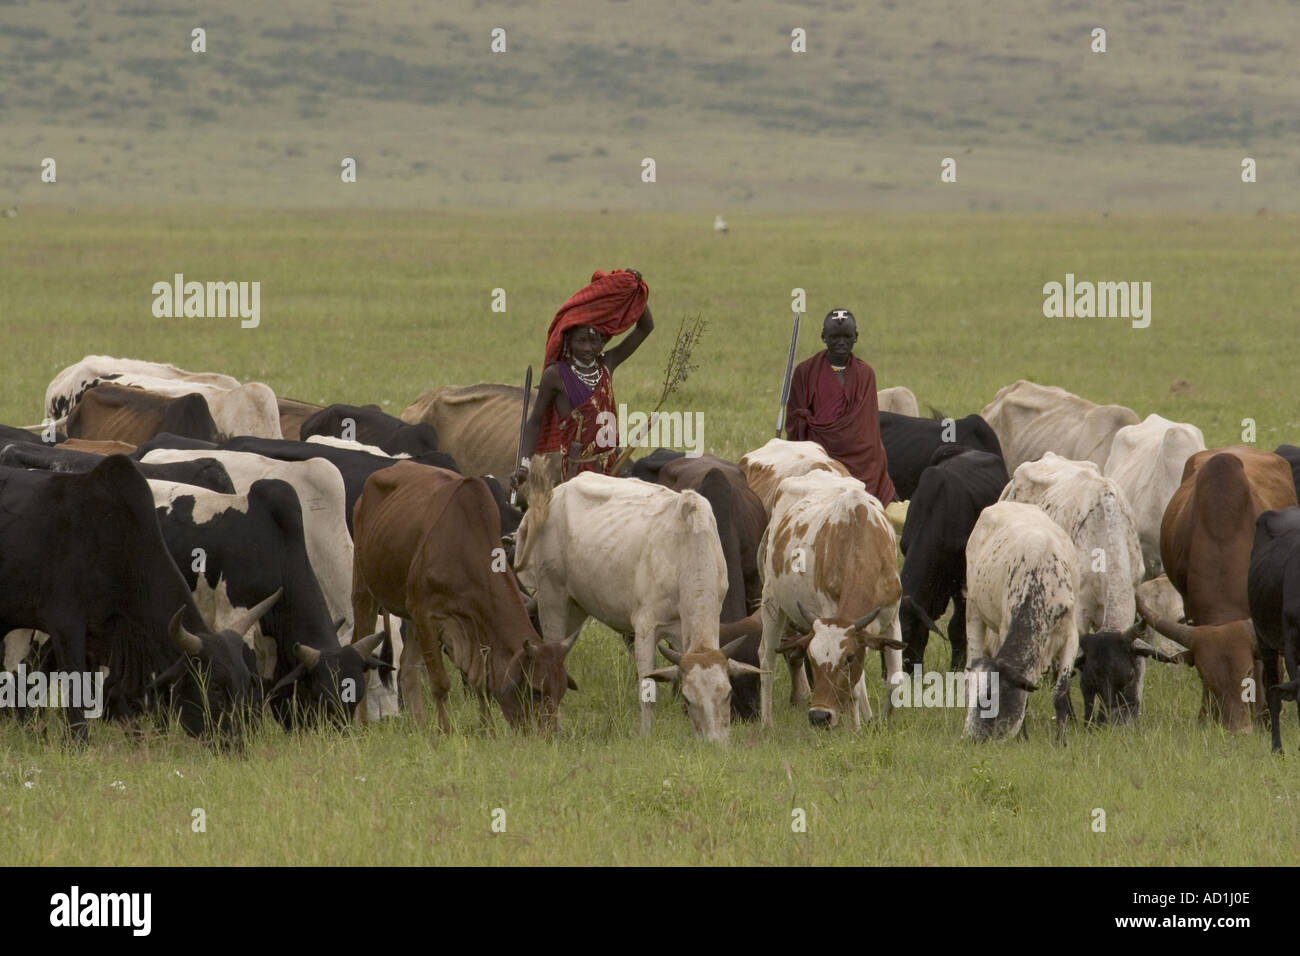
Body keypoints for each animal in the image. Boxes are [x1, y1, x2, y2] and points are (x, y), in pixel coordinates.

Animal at [352, 461, 576, 733]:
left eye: (562, 691)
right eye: (535, 691)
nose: (550, 735)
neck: (462, 548)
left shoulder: (471, 628)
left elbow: (481, 684)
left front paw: (487, 730)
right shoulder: (425, 614)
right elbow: (440, 684)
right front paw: (446, 732)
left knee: (408, 668)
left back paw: (420, 727)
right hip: (363, 591)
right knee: (363, 654)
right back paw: (362, 725)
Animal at [515, 468, 758, 742]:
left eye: (727, 693)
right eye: (689, 698)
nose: (715, 742)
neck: (688, 548)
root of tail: (558, 491)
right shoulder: (645, 626)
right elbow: (648, 689)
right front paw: (646, 736)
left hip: (575, 606)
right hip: (552, 596)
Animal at [758, 471, 905, 730]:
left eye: (848, 658)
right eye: (811, 658)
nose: (819, 716)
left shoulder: (891, 619)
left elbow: (894, 682)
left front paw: (881, 723)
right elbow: (855, 689)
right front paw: (856, 729)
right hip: (772, 602)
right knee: (766, 661)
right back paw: (767, 724)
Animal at [963, 501, 1080, 742]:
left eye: (990, 695)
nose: (968, 738)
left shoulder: (1071, 636)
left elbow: (1060, 694)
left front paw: (1061, 741)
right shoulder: (1005, 626)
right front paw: (1022, 738)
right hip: (973, 610)